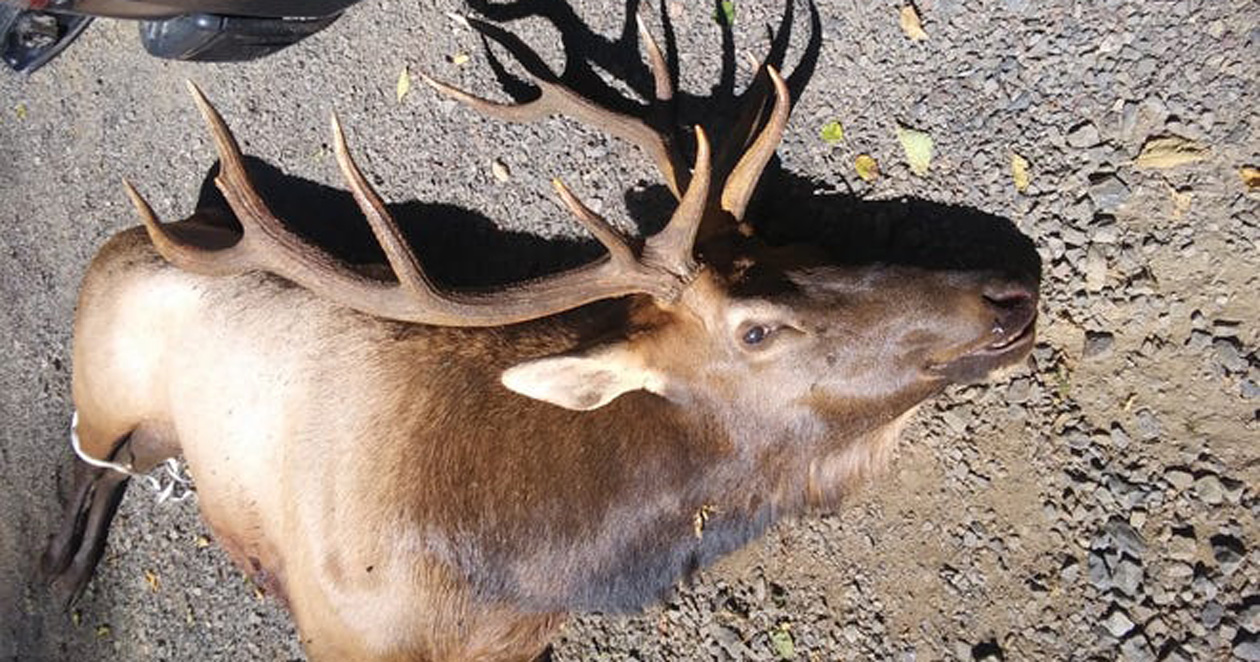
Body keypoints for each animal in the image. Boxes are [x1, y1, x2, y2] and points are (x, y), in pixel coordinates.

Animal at [40, 13, 1038, 662]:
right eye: (755, 330)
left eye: (800, 243)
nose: (1008, 291)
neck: (521, 576)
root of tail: (145, 231)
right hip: (101, 388)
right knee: (86, 466)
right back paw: (58, 569)